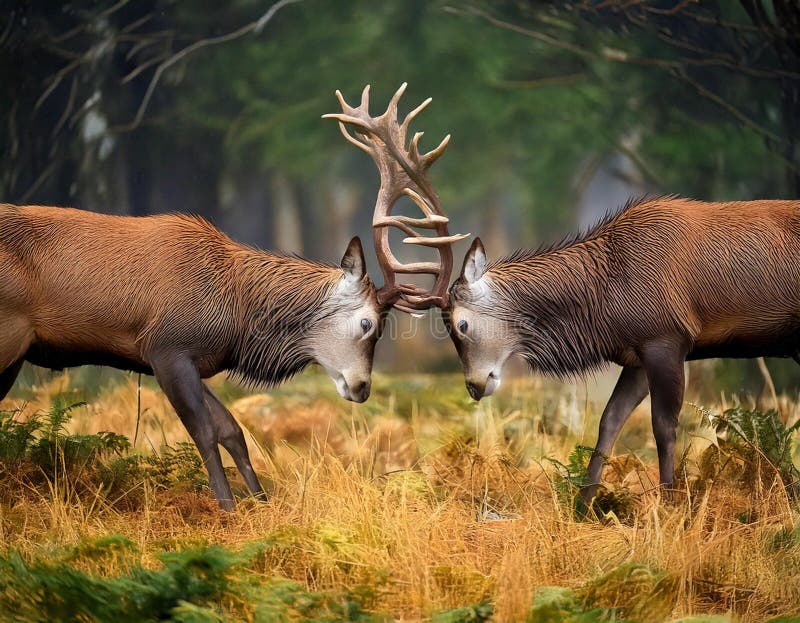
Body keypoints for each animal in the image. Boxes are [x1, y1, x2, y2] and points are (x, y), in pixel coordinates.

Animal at [444, 196, 800, 501]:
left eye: (461, 325)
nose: (474, 386)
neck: (604, 302)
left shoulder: (666, 339)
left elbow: (664, 427)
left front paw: (670, 506)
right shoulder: (638, 356)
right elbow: (609, 420)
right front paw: (583, 505)